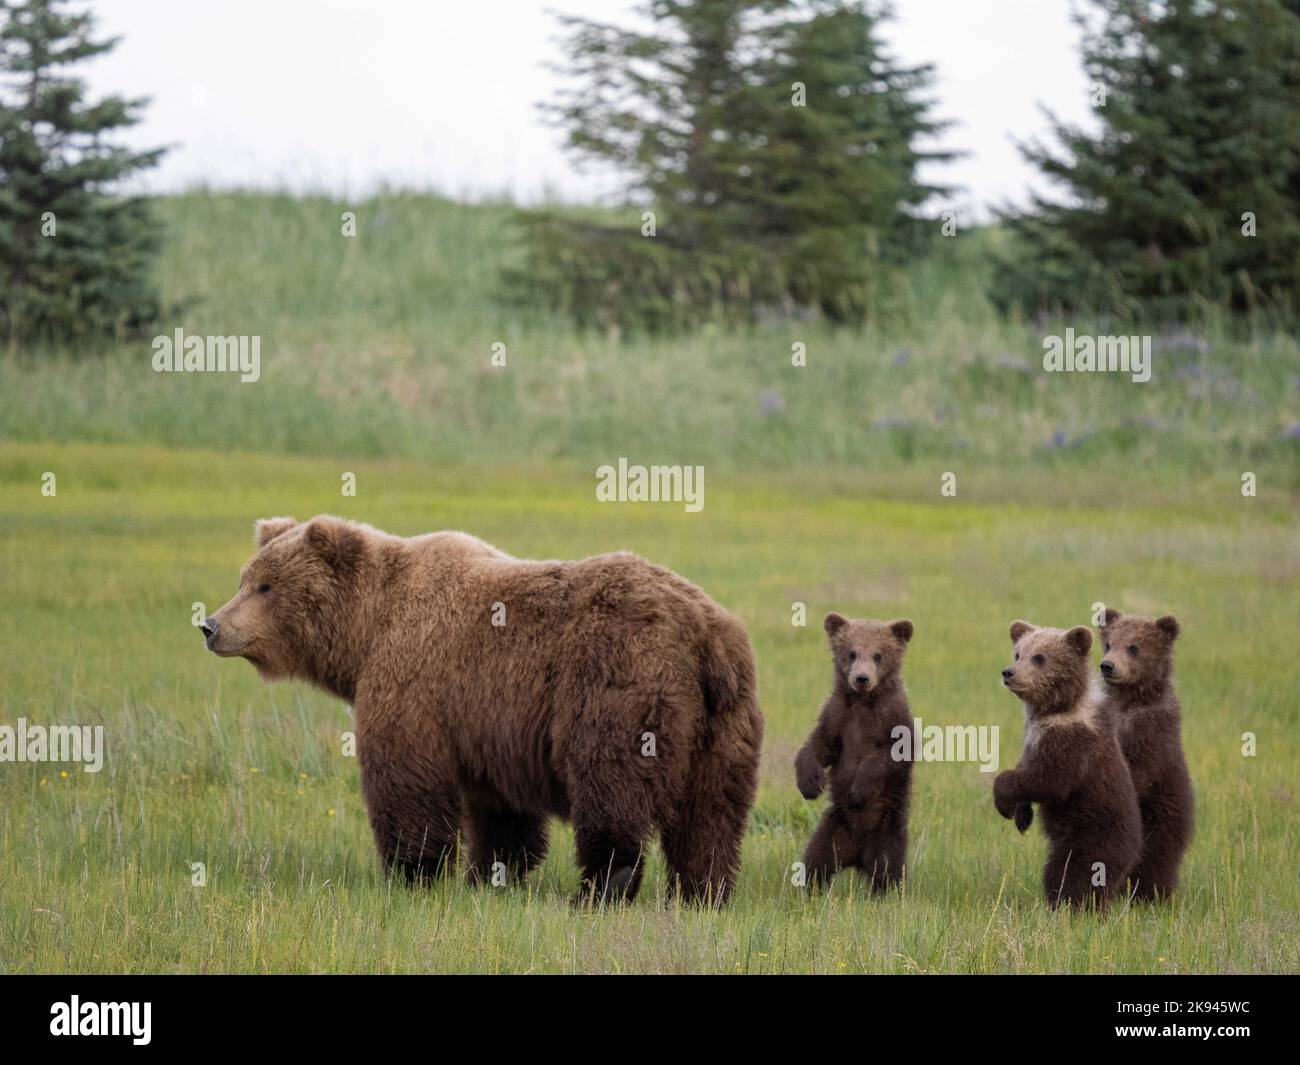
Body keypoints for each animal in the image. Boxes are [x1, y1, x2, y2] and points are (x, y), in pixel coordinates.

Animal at [202, 515, 764, 907]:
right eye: (243, 578)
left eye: (266, 586)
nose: (210, 625)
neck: (367, 631)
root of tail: (708, 636)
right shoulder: (489, 722)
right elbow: (501, 812)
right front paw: (490, 875)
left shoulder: (415, 682)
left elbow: (407, 783)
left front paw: (411, 874)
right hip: (725, 723)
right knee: (710, 815)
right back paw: (702, 895)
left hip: (618, 690)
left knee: (612, 792)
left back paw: (598, 891)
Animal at [794, 613, 914, 893]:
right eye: (851, 652)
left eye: (878, 655)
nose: (861, 678)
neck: (863, 702)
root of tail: (856, 857)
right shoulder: (838, 716)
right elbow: (818, 745)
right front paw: (810, 783)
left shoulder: (893, 717)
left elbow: (890, 755)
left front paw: (858, 792)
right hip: (832, 829)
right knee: (816, 860)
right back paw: (809, 889)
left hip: (887, 829)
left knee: (887, 867)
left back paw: (883, 892)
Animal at [994, 620, 1141, 911]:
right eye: (1018, 653)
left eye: (1040, 657)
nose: (1009, 672)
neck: (1059, 708)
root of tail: (1135, 849)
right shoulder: (1034, 738)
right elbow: (1029, 771)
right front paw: (1022, 815)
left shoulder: (1072, 743)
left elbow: (1050, 781)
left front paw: (1003, 802)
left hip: (1093, 836)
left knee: (1071, 874)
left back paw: (1066, 907)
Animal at [1097, 609, 1194, 901]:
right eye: (1109, 643)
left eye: (1134, 647)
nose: (1107, 666)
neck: (1128, 700)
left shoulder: (1151, 732)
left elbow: (1140, 770)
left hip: (1164, 815)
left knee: (1156, 857)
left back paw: (1150, 895)